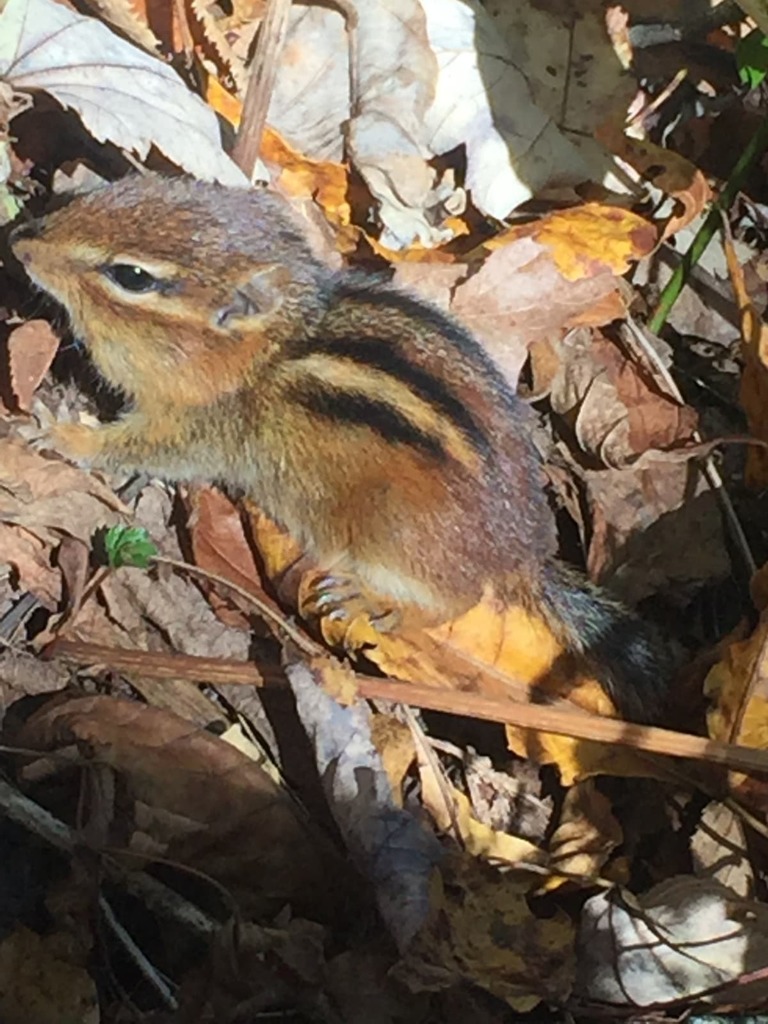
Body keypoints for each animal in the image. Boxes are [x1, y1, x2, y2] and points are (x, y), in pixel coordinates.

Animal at [10, 173, 669, 723]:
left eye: (133, 277)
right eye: (115, 188)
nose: (19, 243)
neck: (262, 353)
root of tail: (523, 556)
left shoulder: (199, 429)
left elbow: (140, 447)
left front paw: (60, 432)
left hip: (392, 535)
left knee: (460, 599)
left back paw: (374, 599)